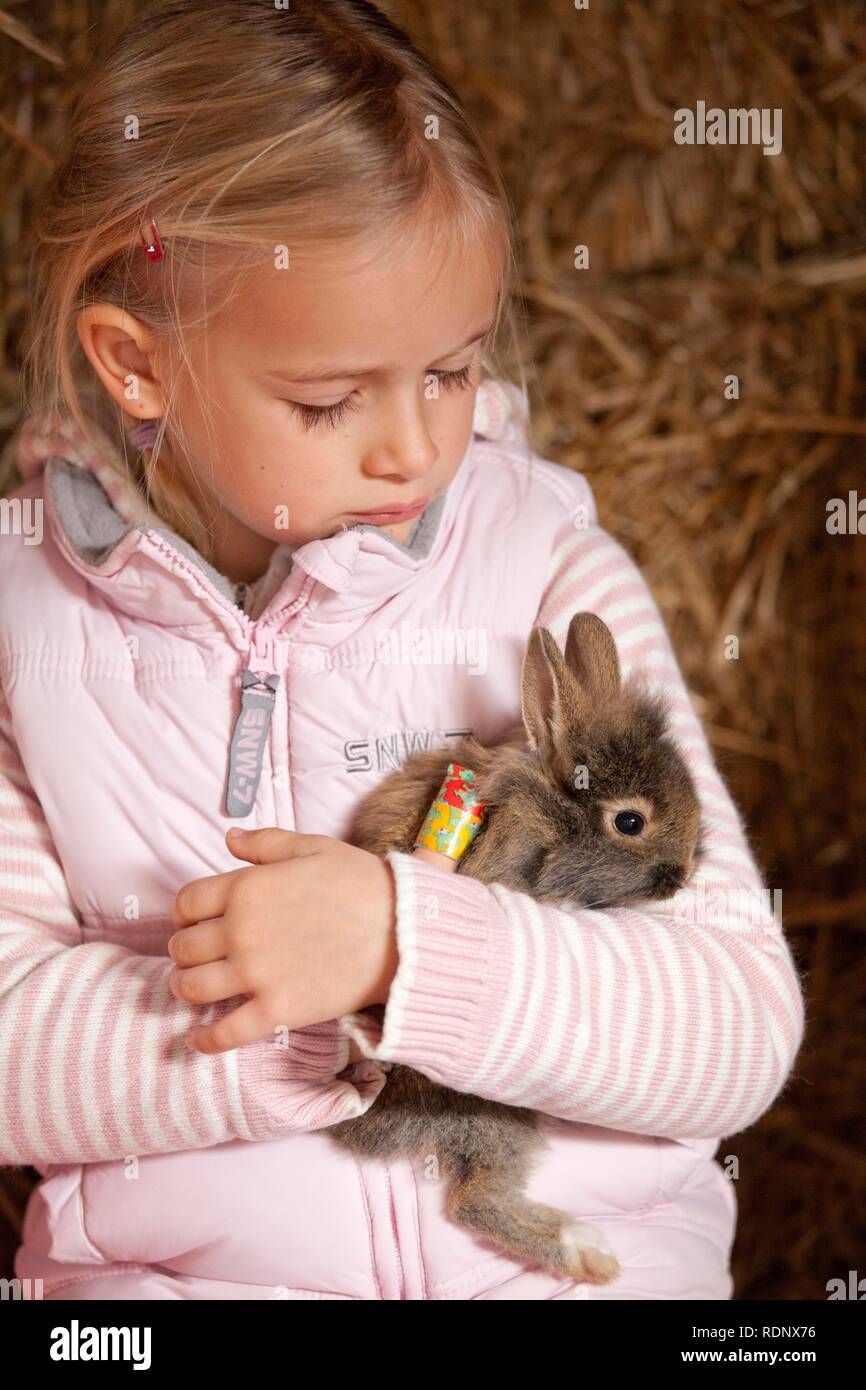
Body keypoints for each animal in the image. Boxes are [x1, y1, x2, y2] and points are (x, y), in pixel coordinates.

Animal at [328, 611, 704, 1285]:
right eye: (630, 822)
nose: (683, 876)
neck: (556, 812)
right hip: (489, 1110)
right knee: (473, 1202)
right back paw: (589, 1254)